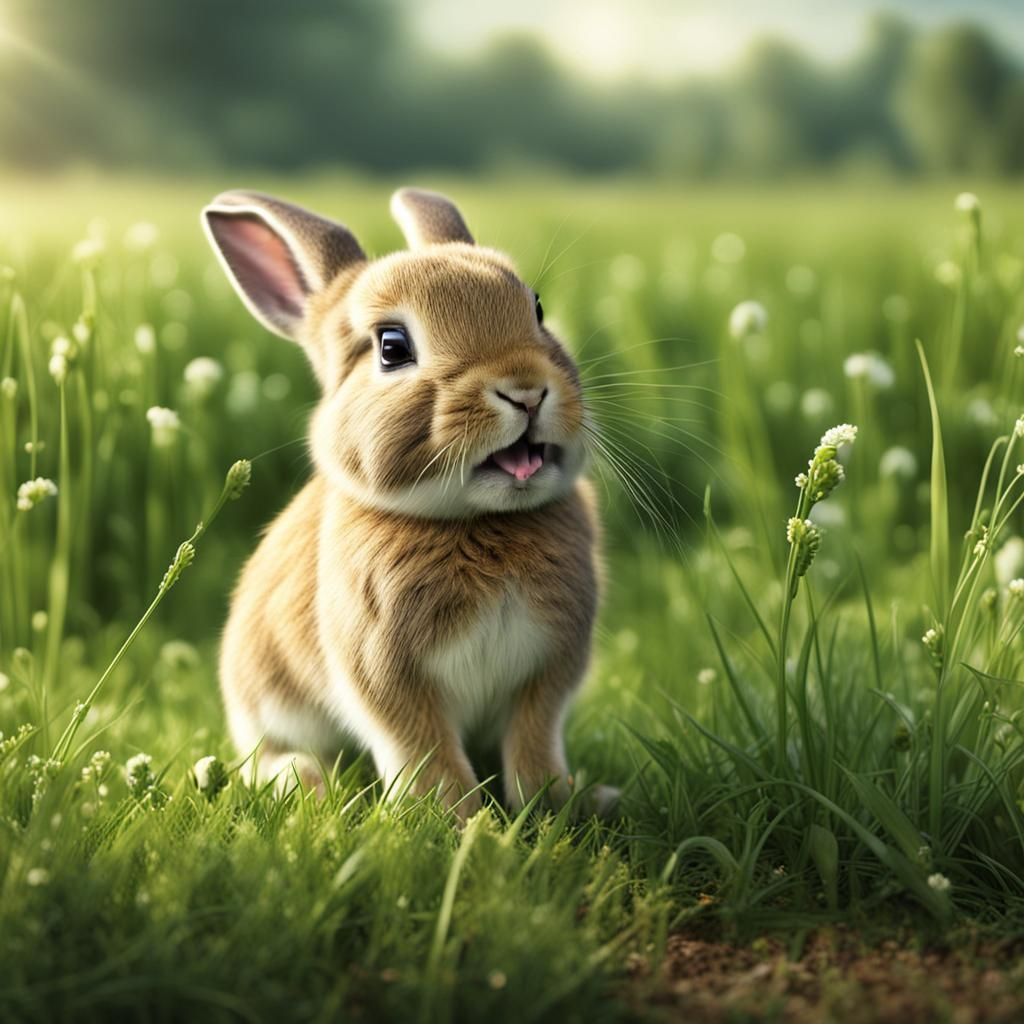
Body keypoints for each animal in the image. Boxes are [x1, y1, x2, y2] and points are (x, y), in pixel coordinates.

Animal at [203, 187, 613, 818]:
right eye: (391, 348)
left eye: (538, 309)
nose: (525, 390)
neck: (475, 520)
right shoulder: (385, 677)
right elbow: (424, 749)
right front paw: (456, 819)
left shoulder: (546, 675)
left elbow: (533, 746)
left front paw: (559, 802)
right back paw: (307, 782)